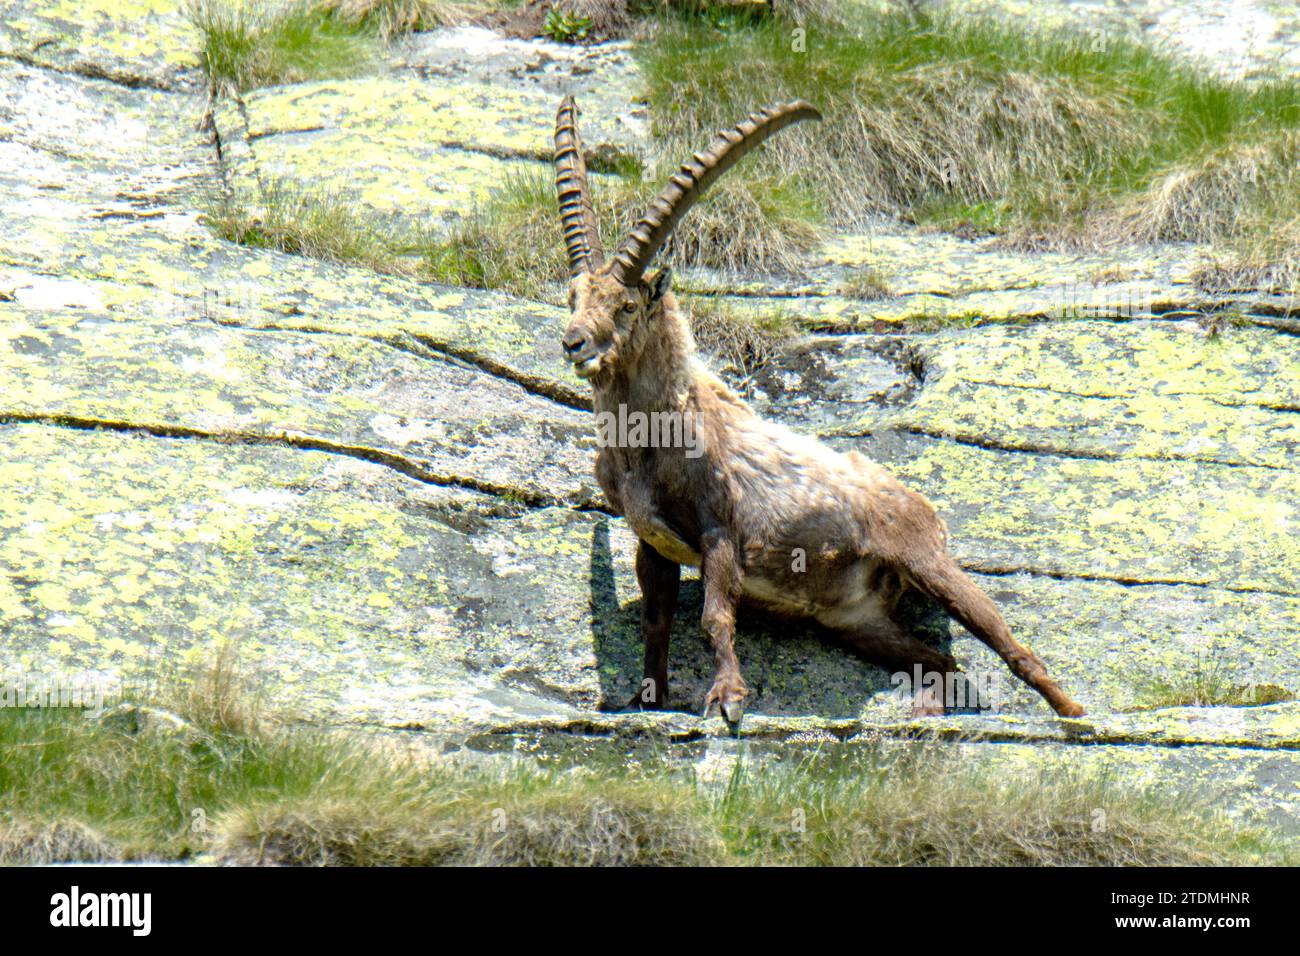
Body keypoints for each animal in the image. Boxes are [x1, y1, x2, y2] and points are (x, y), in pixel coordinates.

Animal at [553, 96, 1085, 726]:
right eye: (572, 297)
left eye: (627, 305)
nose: (574, 343)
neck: (650, 436)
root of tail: (924, 508)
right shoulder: (652, 539)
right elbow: (656, 622)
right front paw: (647, 701)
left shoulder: (721, 527)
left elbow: (714, 616)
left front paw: (728, 701)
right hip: (857, 622)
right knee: (940, 659)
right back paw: (925, 711)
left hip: (927, 562)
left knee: (1007, 641)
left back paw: (1072, 711)